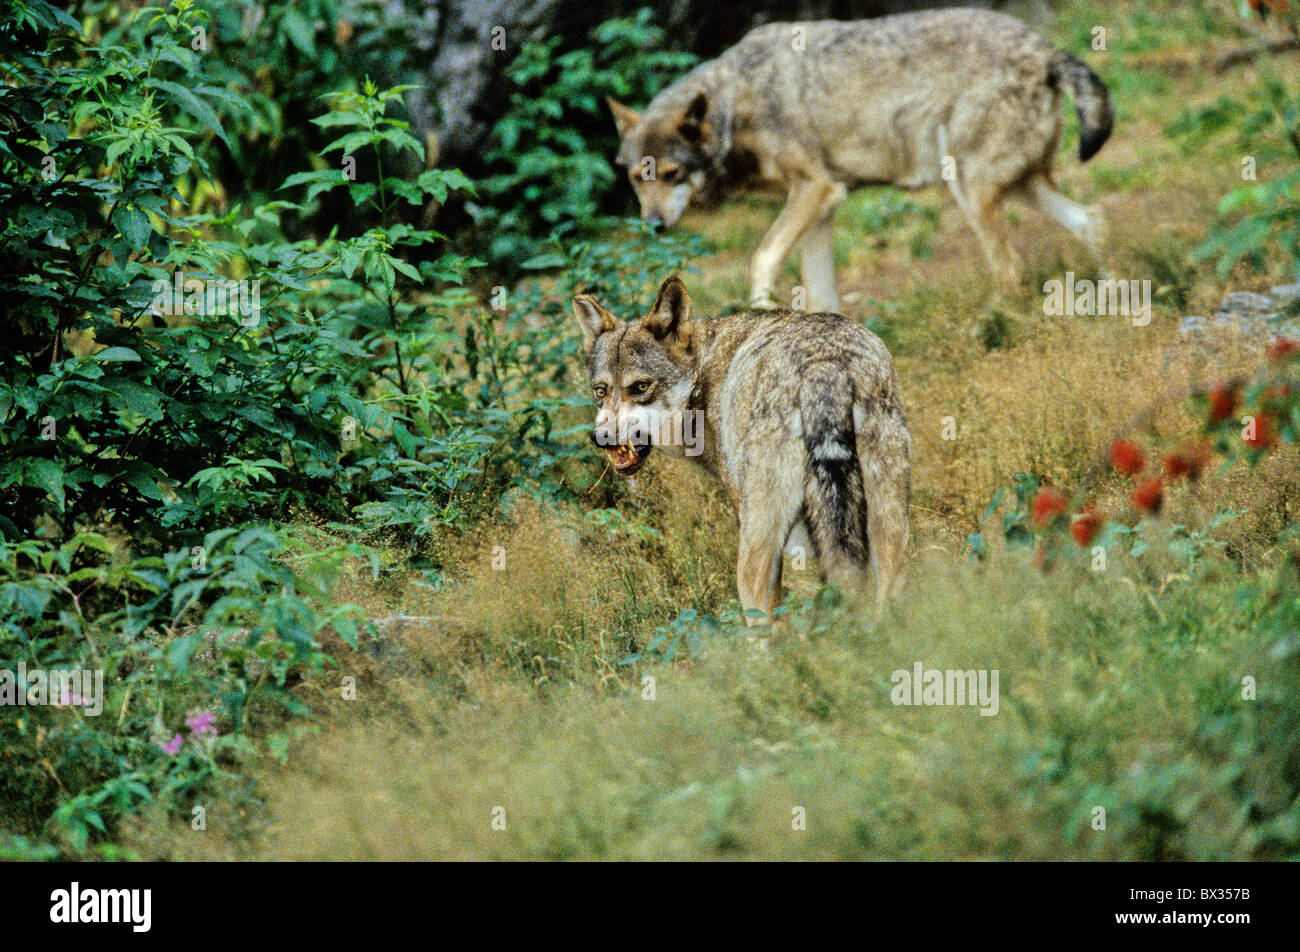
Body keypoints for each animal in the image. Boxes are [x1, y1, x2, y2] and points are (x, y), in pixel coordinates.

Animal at [572, 276, 911, 623]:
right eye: (600, 391)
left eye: (640, 387)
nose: (602, 438)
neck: (701, 380)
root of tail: (824, 365)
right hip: (890, 523)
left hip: (755, 545)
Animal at [607, 7, 1113, 311]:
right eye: (636, 178)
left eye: (672, 173)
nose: (653, 226)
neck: (738, 101)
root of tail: (1044, 47)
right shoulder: (821, 211)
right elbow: (821, 300)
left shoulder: (816, 190)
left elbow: (762, 261)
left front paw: (762, 313)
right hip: (1022, 187)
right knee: (1090, 220)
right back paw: (1114, 296)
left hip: (971, 193)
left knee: (1012, 268)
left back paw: (992, 325)